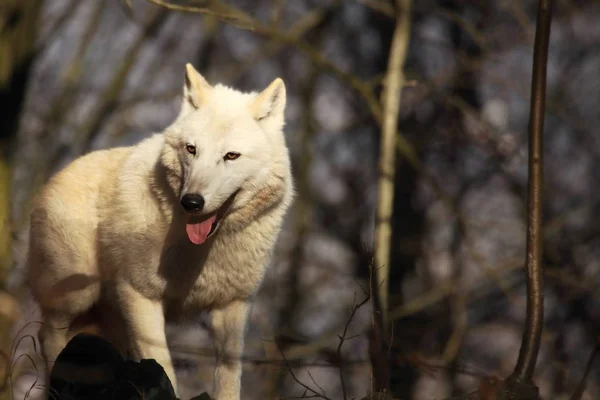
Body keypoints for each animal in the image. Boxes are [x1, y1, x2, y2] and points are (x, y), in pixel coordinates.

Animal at [28, 64, 296, 398]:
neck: (204, 252)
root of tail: (56, 176)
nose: (191, 202)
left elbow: (228, 378)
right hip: (75, 295)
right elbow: (164, 364)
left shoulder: (233, 306)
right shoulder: (140, 295)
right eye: (191, 150)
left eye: (231, 156)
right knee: (47, 335)